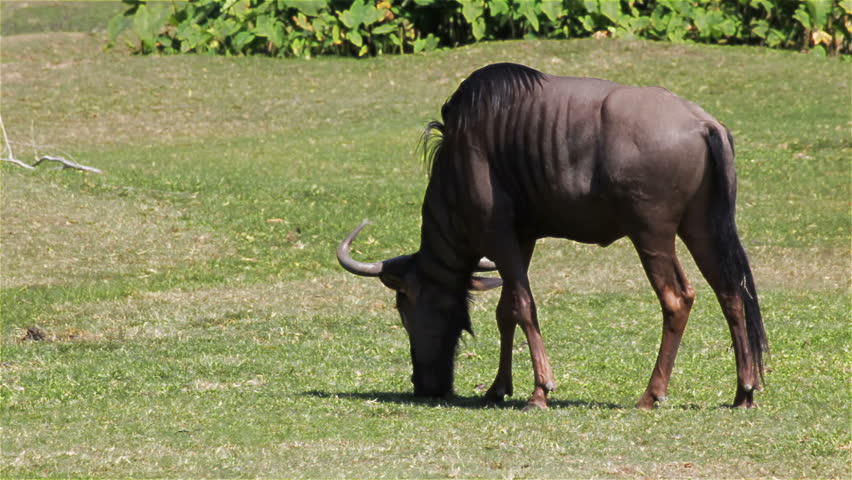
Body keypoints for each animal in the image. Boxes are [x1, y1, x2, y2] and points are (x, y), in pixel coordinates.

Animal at [337, 63, 767, 409]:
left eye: (403, 307)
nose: (424, 386)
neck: (461, 158)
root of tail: (703, 123)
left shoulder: (499, 236)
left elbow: (524, 306)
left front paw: (540, 391)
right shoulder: (521, 240)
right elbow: (505, 310)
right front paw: (497, 388)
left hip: (652, 234)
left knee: (677, 299)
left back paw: (651, 394)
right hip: (701, 228)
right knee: (731, 292)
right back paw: (743, 391)